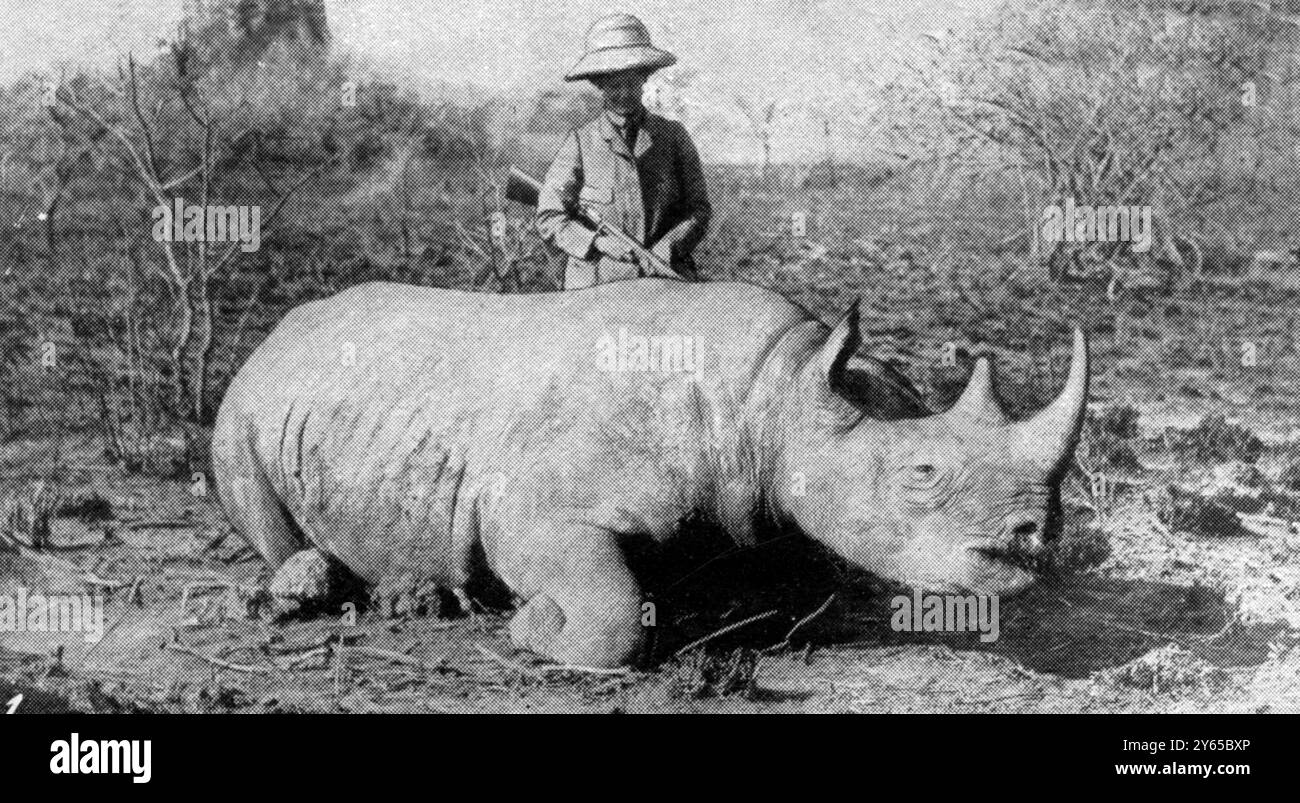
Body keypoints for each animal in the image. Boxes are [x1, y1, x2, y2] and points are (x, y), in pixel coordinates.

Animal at [212, 278, 1088, 668]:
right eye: (923, 471)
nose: (1035, 533)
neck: (781, 391)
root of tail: (277, 332)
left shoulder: (760, 504)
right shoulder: (533, 506)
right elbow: (611, 607)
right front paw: (532, 627)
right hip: (242, 406)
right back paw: (322, 586)